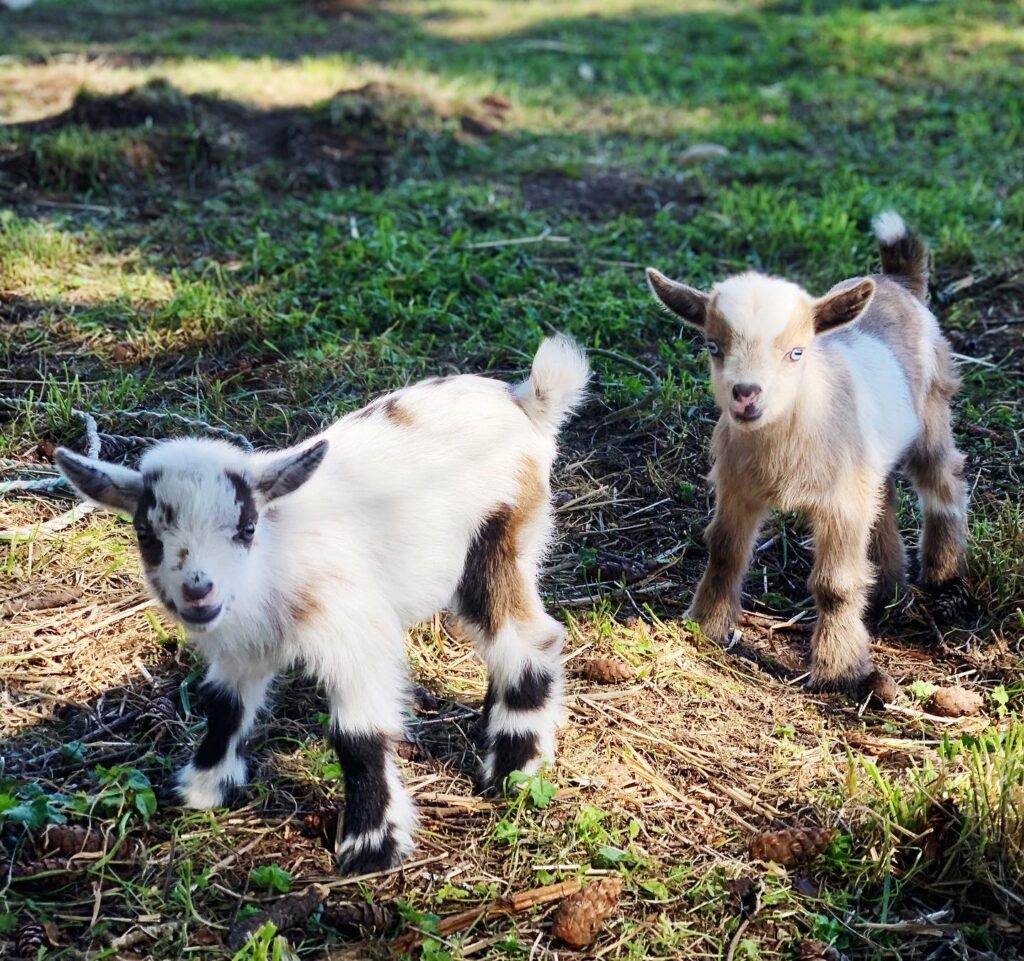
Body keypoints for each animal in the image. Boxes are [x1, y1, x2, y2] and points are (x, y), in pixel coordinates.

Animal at [56, 335, 589, 874]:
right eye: (146, 534)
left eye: (246, 527)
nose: (198, 590)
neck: (274, 561)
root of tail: (524, 399)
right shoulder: (244, 646)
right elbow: (224, 705)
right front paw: (201, 789)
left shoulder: (354, 633)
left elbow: (358, 736)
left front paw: (371, 847)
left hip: (501, 537)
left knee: (529, 638)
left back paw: (513, 771)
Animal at [646, 213, 967, 694]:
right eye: (712, 346)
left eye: (796, 352)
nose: (746, 395)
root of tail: (896, 280)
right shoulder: (737, 487)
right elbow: (725, 550)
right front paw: (705, 625)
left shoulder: (838, 503)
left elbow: (835, 584)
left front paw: (839, 669)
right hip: (871, 457)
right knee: (884, 499)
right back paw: (889, 588)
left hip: (933, 405)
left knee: (942, 481)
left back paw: (943, 573)